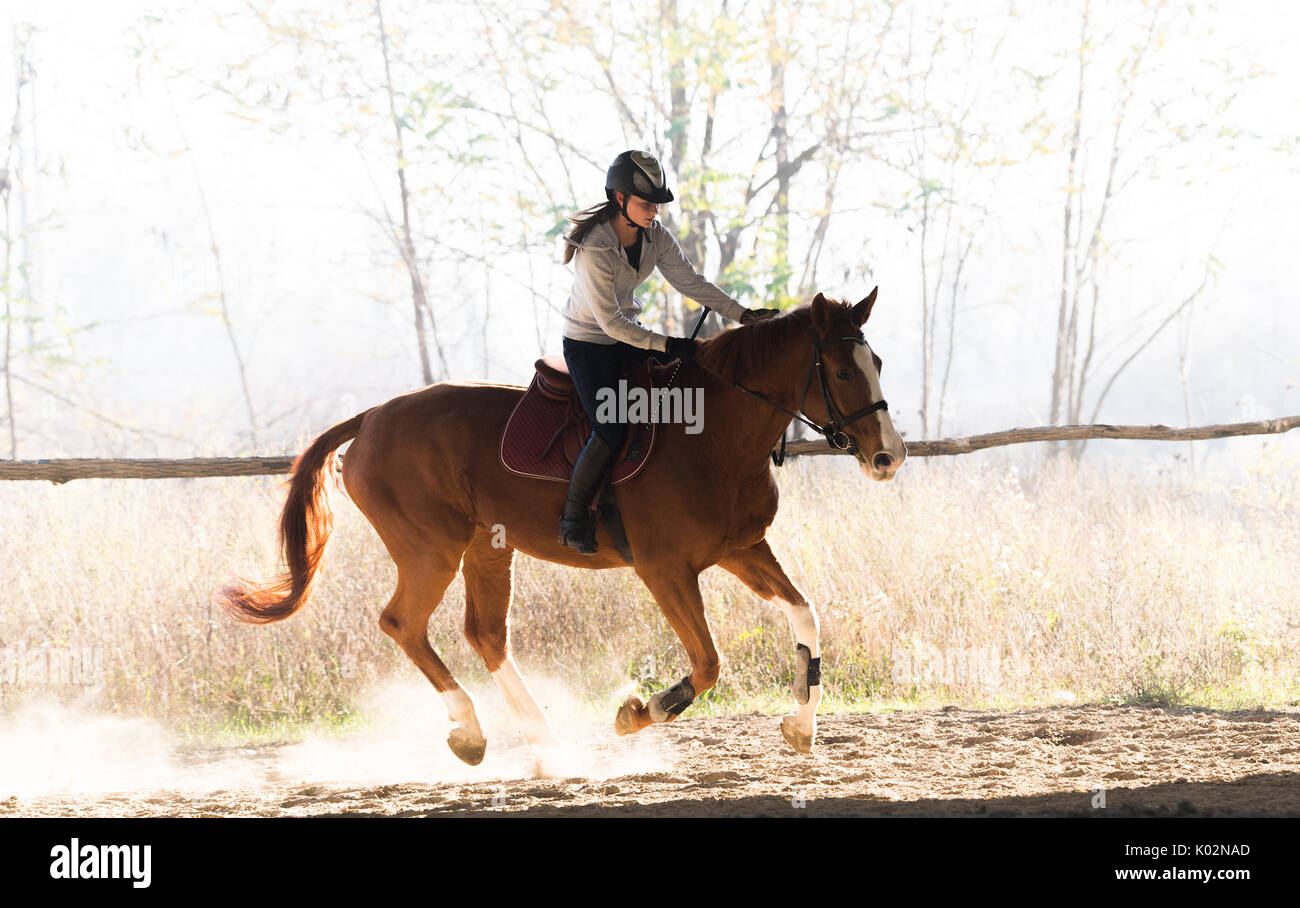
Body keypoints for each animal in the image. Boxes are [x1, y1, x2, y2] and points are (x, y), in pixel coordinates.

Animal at [218, 290, 906, 768]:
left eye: (876, 360)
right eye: (843, 372)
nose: (888, 457)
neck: (712, 434)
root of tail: (371, 418)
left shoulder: (742, 550)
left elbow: (805, 614)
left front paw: (800, 727)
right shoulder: (665, 569)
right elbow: (708, 663)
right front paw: (636, 713)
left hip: (485, 550)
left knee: (485, 634)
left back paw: (547, 743)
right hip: (430, 551)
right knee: (403, 624)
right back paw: (471, 733)